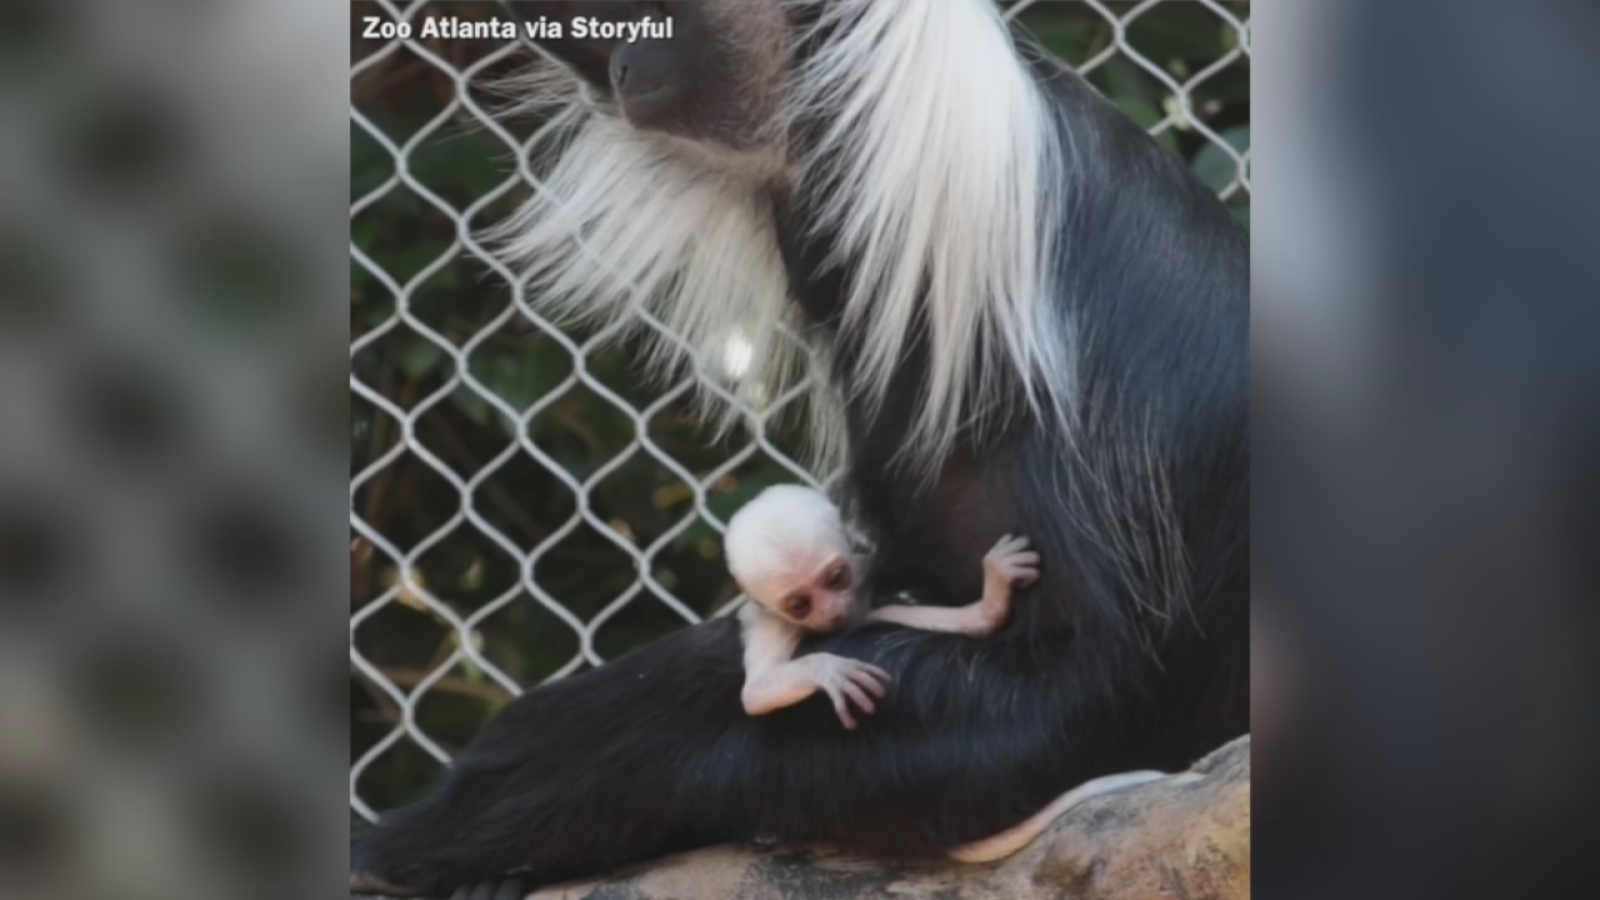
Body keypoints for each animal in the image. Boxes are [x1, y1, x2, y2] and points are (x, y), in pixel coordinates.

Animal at [724, 484, 1039, 729]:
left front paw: (989, 605)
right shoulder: (774, 623)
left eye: (836, 579)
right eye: (800, 605)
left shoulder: (862, 570)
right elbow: (756, 691)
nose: (831, 611)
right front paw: (828, 669)